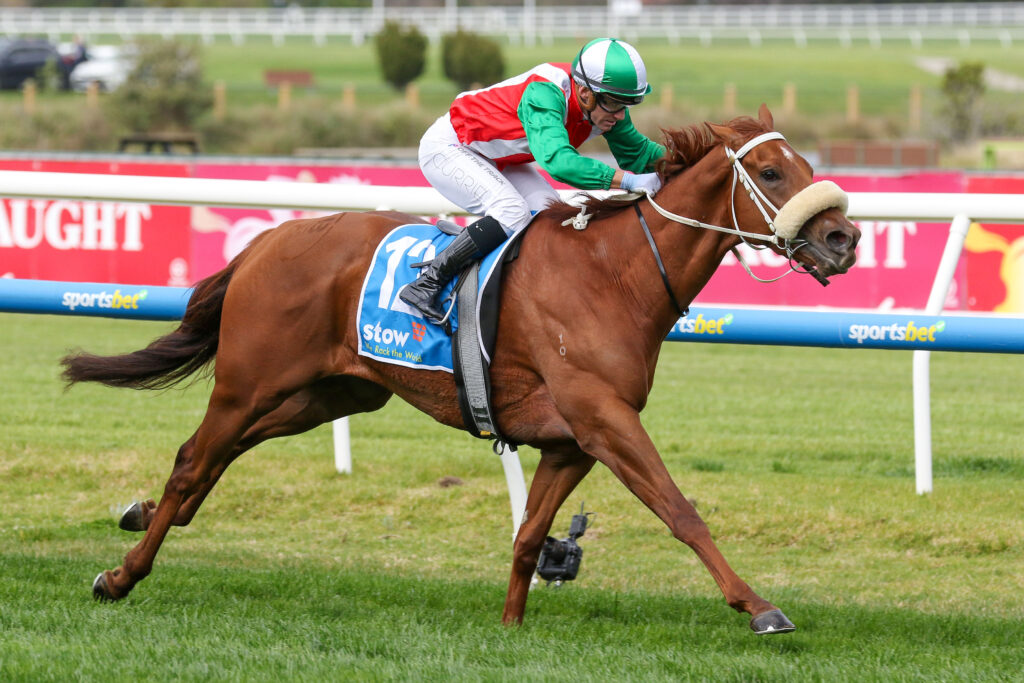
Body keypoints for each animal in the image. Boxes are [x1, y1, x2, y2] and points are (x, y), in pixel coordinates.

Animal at [62, 105, 859, 635]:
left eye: (808, 168)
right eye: (769, 171)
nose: (843, 238)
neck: (615, 276)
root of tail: (265, 241)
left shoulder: (571, 441)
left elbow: (531, 535)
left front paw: (510, 623)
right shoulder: (605, 420)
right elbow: (680, 509)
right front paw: (759, 607)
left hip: (327, 394)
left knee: (214, 456)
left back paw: (139, 514)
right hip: (250, 381)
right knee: (196, 459)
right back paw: (120, 574)